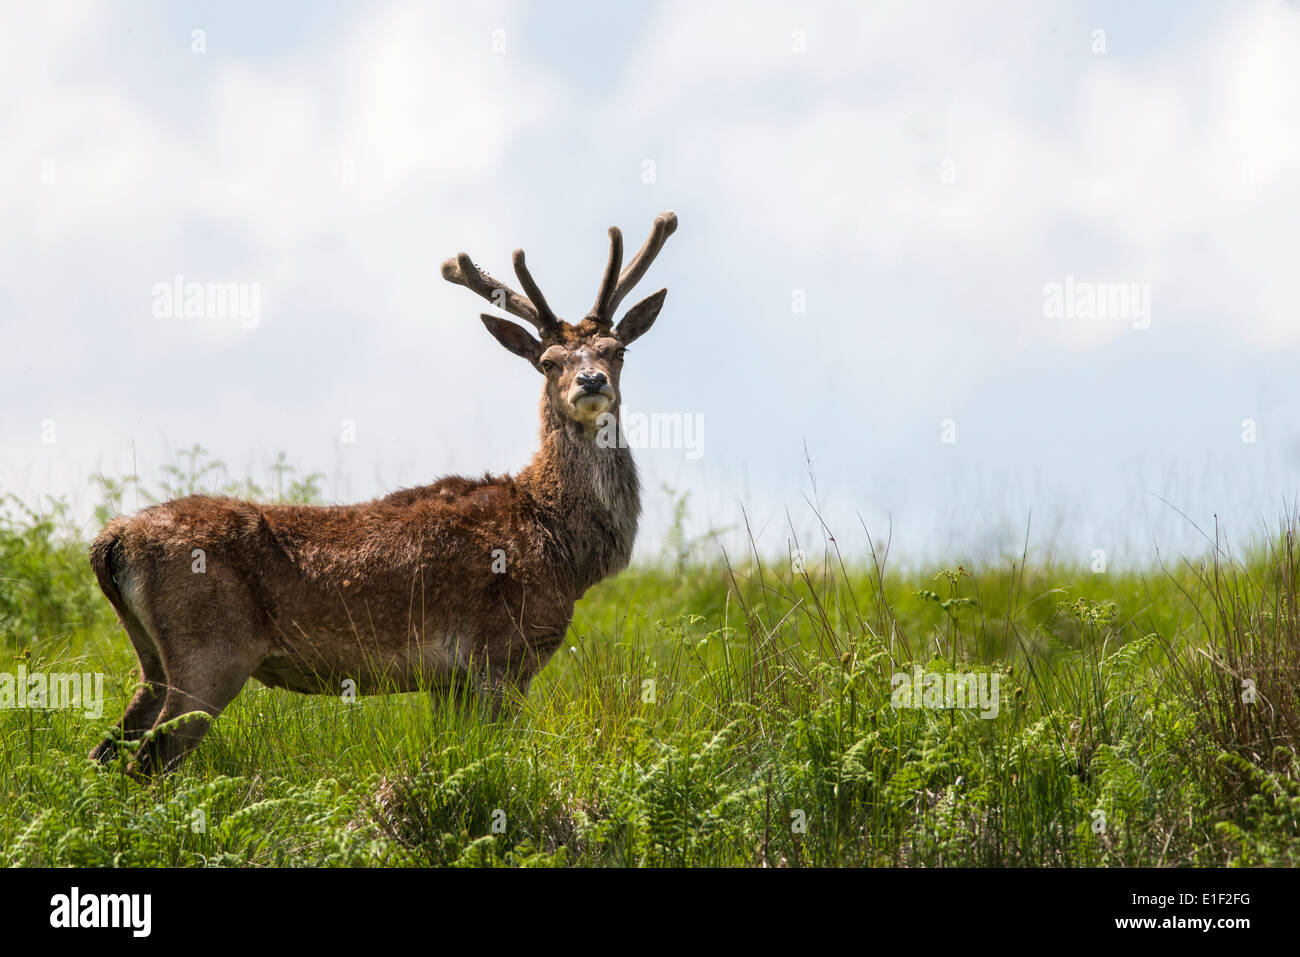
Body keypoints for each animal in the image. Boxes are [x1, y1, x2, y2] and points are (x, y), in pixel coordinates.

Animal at [88, 211, 678, 776]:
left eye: (617, 350)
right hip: (210, 651)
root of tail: (111, 541)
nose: (591, 382)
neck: (563, 546)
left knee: (105, 750)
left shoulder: (450, 677)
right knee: (150, 760)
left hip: (152, 658)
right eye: (549, 361)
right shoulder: (501, 655)